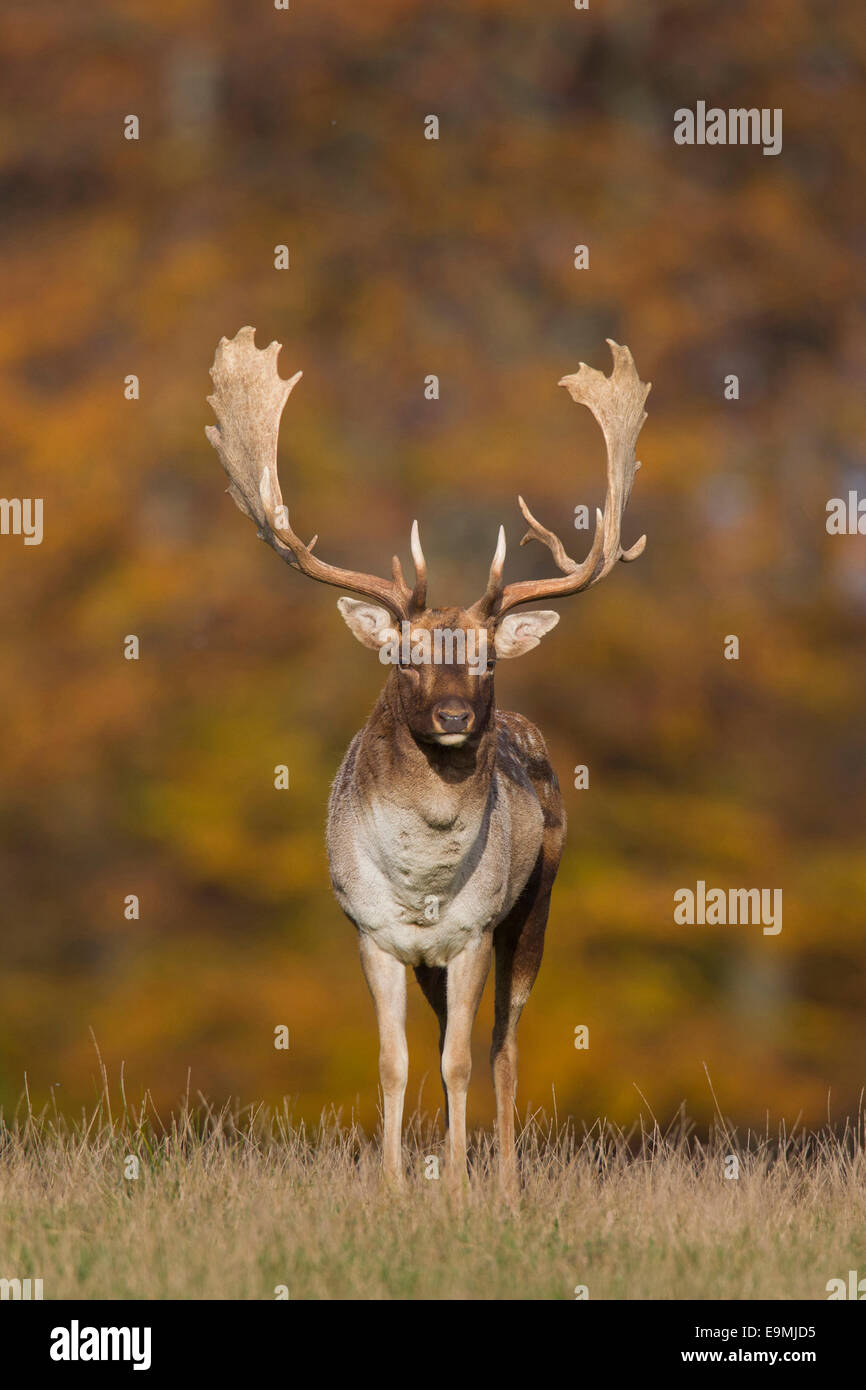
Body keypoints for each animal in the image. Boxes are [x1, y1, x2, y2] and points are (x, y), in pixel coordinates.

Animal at [206, 327, 650, 1191]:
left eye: (486, 659)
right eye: (406, 657)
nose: (452, 716)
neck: (422, 880)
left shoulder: (472, 931)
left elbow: (460, 1063)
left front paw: (462, 1192)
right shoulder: (373, 932)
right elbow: (395, 1064)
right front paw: (393, 1186)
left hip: (534, 905)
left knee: (503, 1045)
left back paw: (501, 1180)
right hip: (430, 961)